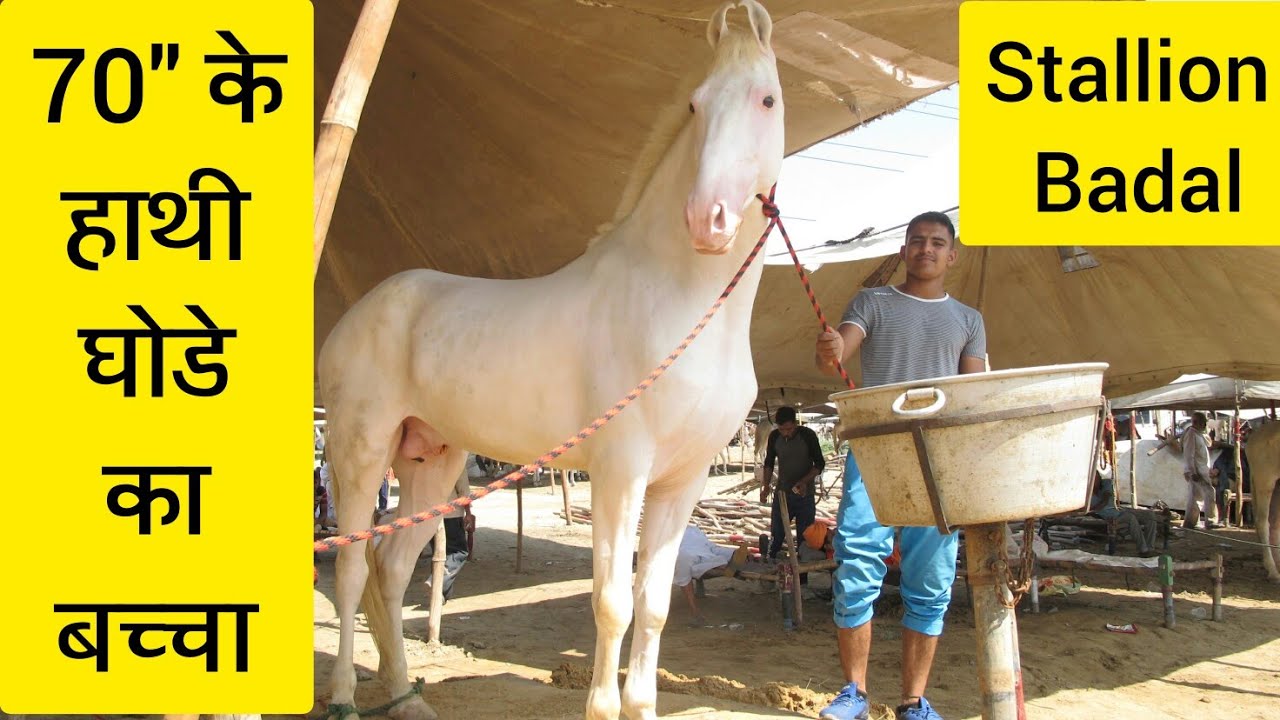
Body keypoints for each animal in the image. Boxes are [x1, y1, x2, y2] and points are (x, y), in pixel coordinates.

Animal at [315, 2, 785, 718]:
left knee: (390, 572)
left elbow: (653, 606)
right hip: (359, 451)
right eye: (696, 104)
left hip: (431, 463)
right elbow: (613, 604)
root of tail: (358, 313)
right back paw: (343, 695)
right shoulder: (621, 472)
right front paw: (602, 707)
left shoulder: (685, 479)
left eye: (767, 99)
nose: (709, 219)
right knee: (346, 571)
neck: (683, 303)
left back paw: (405, 695)